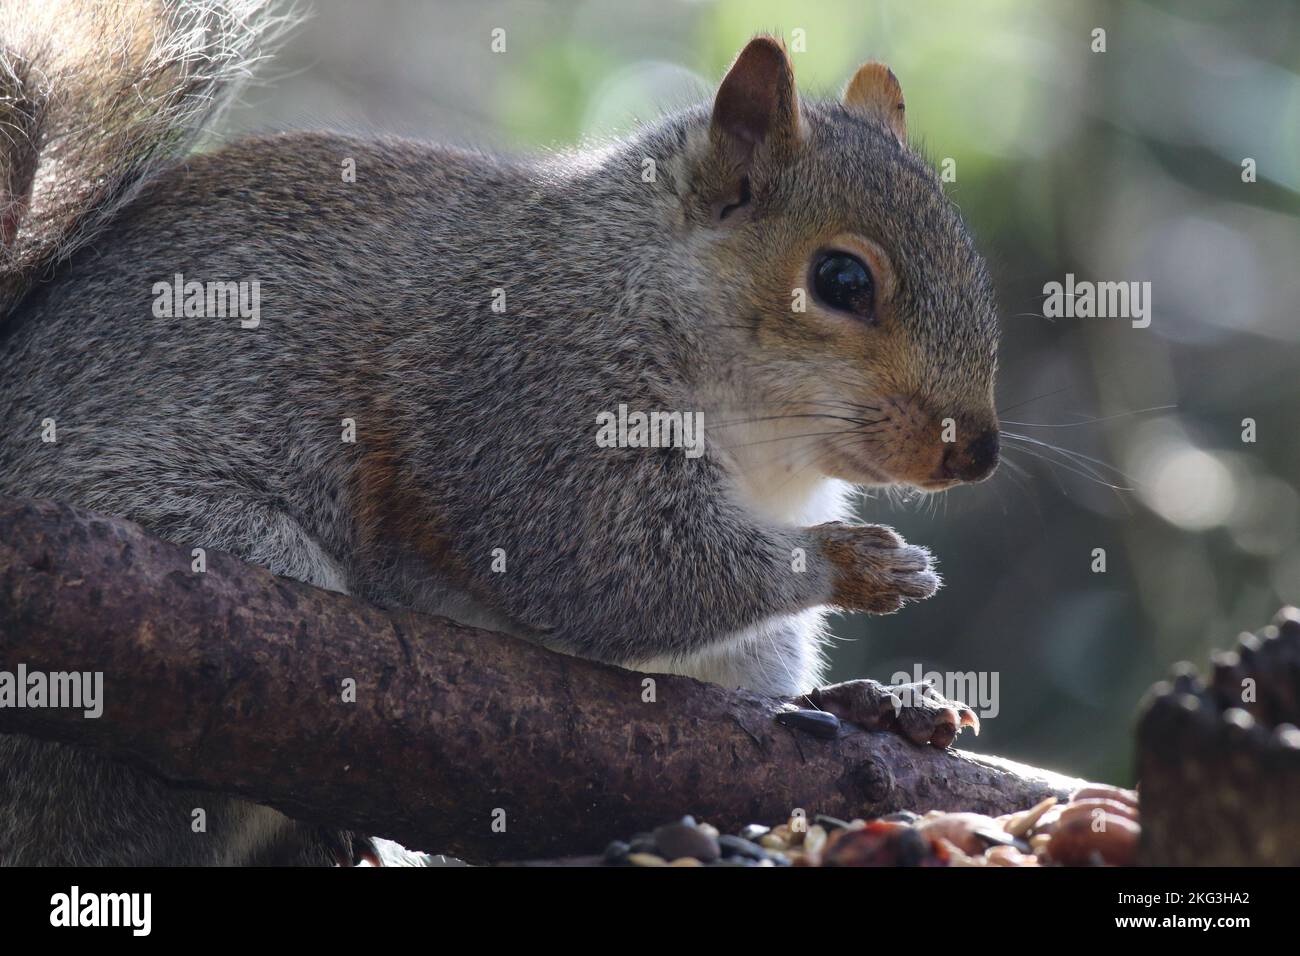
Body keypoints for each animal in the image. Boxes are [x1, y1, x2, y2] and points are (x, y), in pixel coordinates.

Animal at [0, 0, 999, 865]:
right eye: (841, 280)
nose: (977, 452)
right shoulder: (531, 404)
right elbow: (618, 571)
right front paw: (856, 562)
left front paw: (878, 703)